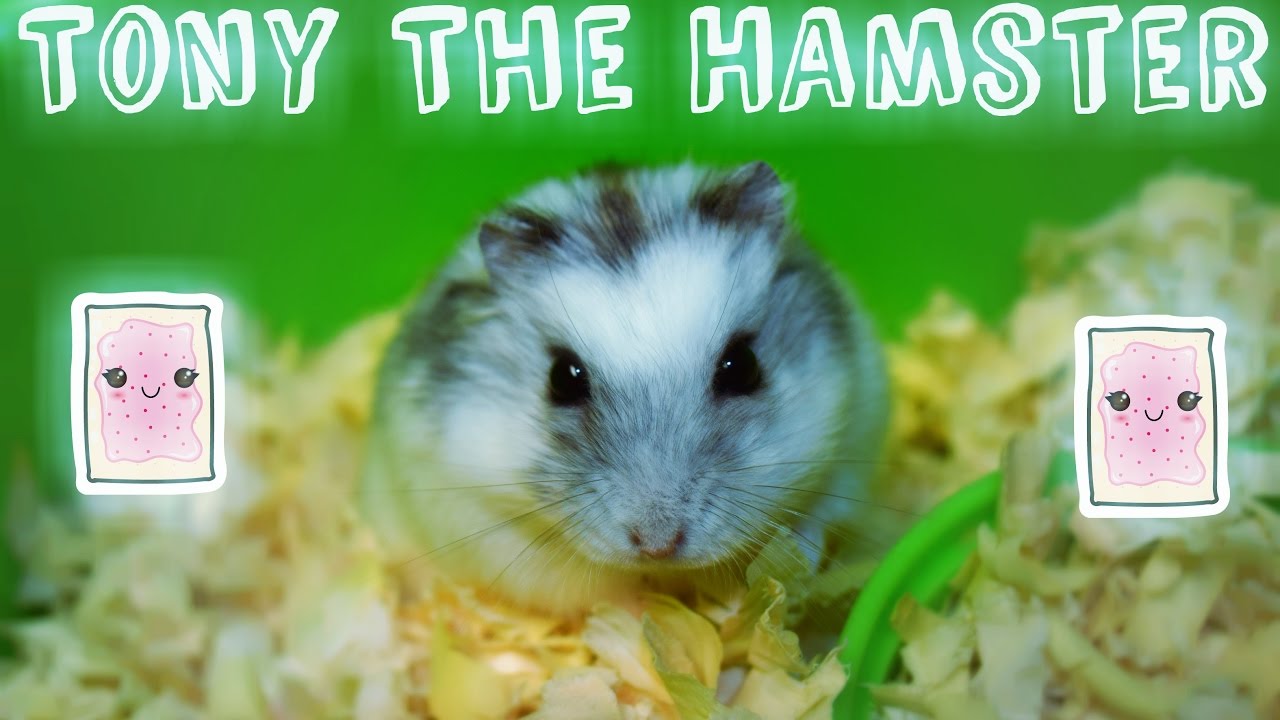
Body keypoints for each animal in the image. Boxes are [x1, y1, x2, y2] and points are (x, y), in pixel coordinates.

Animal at [359, 161, 889, 617]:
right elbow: (606, 592)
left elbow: (812, 526)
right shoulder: (489, 528)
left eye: (742, 367)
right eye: (562, 378)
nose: (658, 545)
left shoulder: (850, 447)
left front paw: (781, 580)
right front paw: (649, 613)